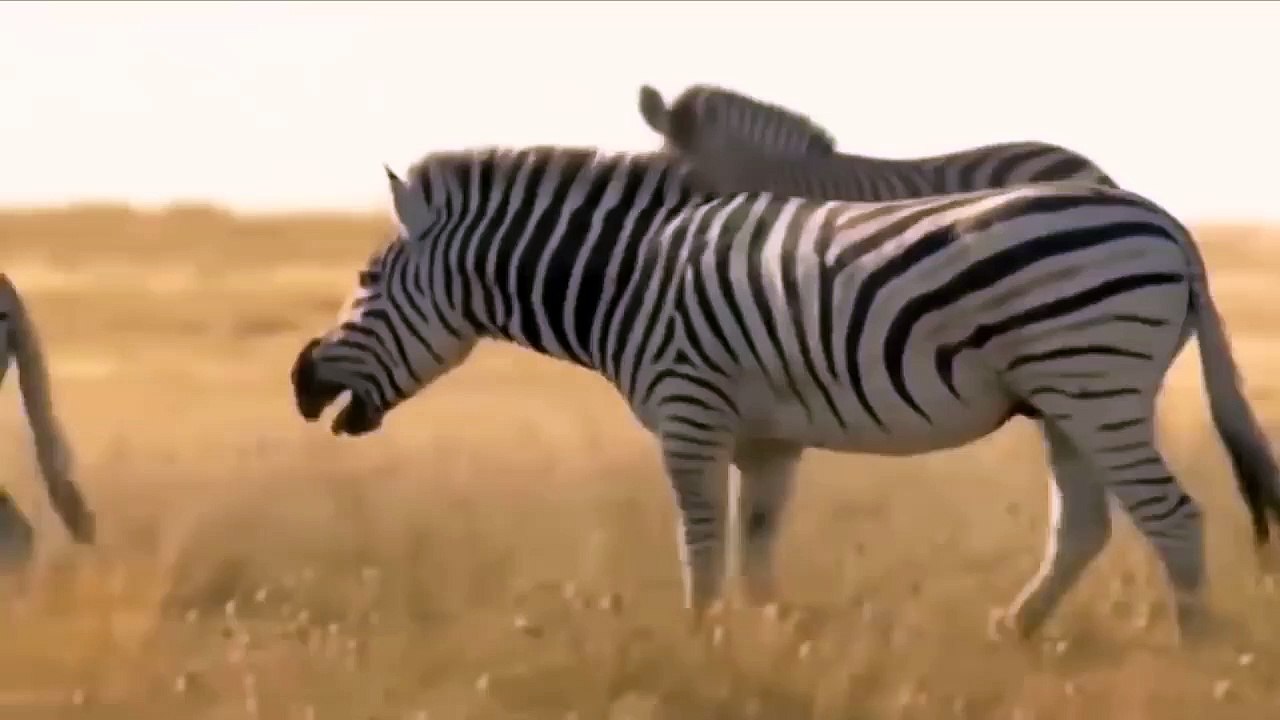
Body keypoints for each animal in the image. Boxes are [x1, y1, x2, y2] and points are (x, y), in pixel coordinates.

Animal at [289, 145, 1280, 643]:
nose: (299, 382)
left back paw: (1194, 650)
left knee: (1173, 516)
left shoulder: (688, 411)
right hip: (1066, 399)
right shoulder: (769, 436)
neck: (630, 278)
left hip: (1094, 378)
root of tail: (1171, 226)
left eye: (367, 278)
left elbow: (700, 541)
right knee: (1085, 524)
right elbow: (758, 544)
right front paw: (766, 645)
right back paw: (1015, 630)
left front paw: (700, 643)